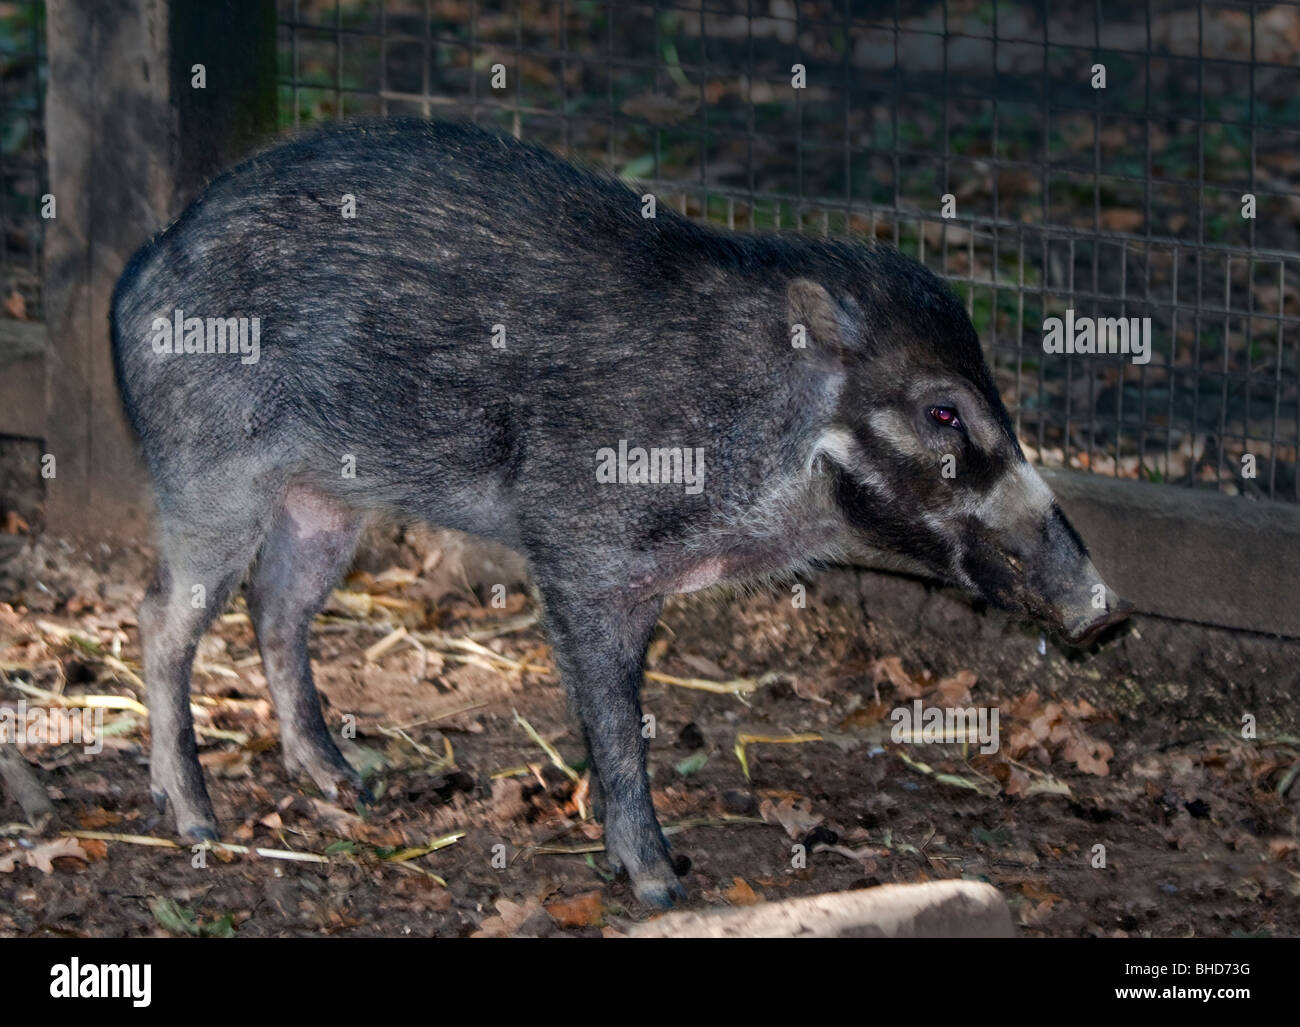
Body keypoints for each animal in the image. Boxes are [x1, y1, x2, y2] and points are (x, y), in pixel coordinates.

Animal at [111, 118, 1130, 907]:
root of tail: (145, 262)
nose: (1106, 610)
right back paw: (196, 820)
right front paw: (660, 883)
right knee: (161, 616)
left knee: (276, 606)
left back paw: (349, 783)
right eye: (944, 411)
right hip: (211, 473)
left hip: (322, 501)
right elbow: (613, 716)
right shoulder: (580, 545)